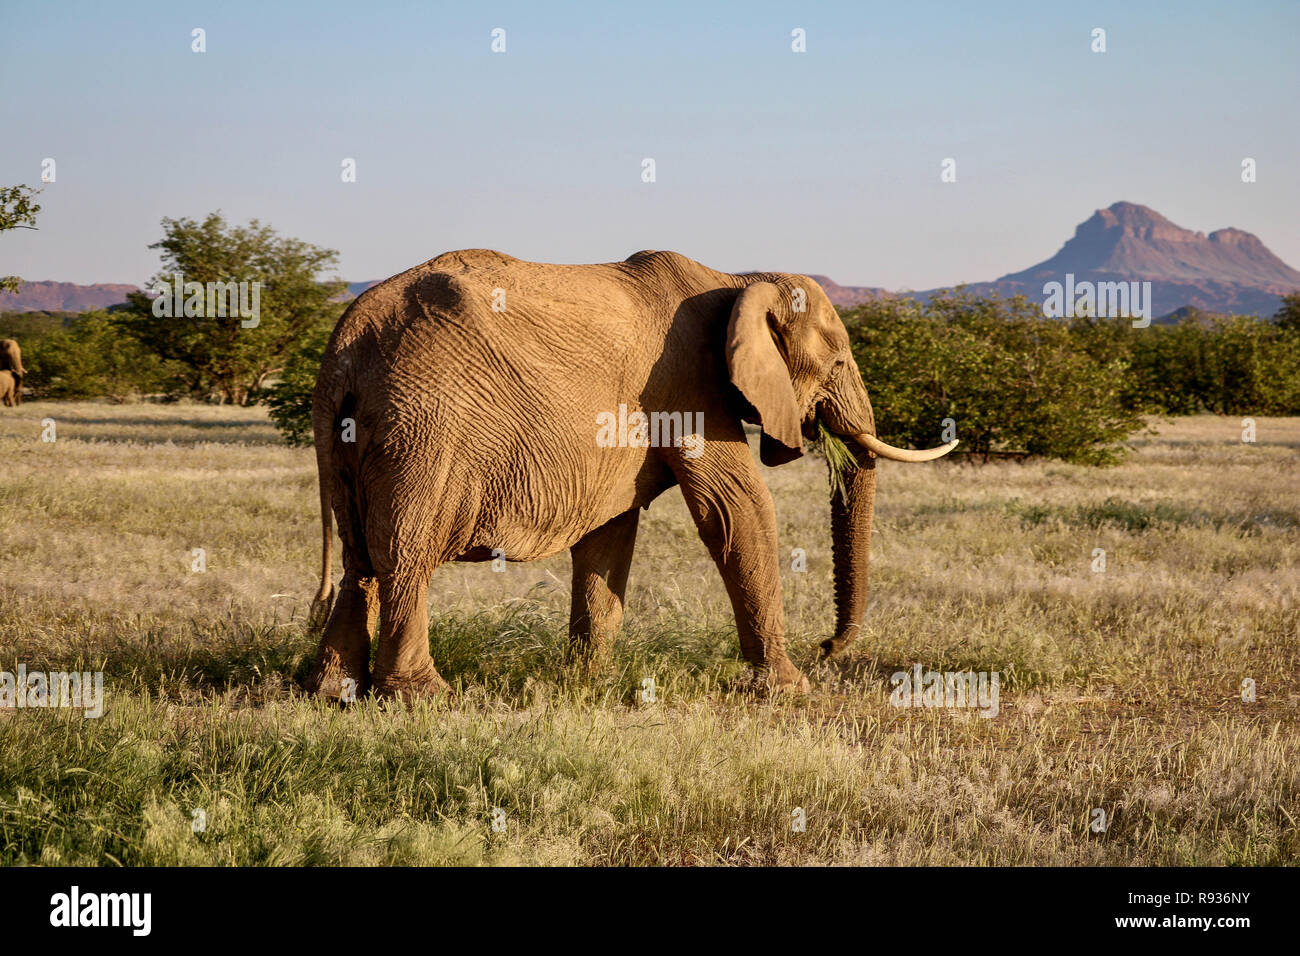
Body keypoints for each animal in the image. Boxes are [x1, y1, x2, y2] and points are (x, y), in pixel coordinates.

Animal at [304, 249, 956, 702]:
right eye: (839, 360)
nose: (827, 647)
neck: (739, 277)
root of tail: (345, 344)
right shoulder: (688, 386)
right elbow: (736, 509)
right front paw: (789, 689)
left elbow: (610, 532)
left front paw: (586, 681)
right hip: (424, 429)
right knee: (405, 553)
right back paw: (422, 697)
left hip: (357, 434)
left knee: (362, 556)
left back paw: (331, 690)